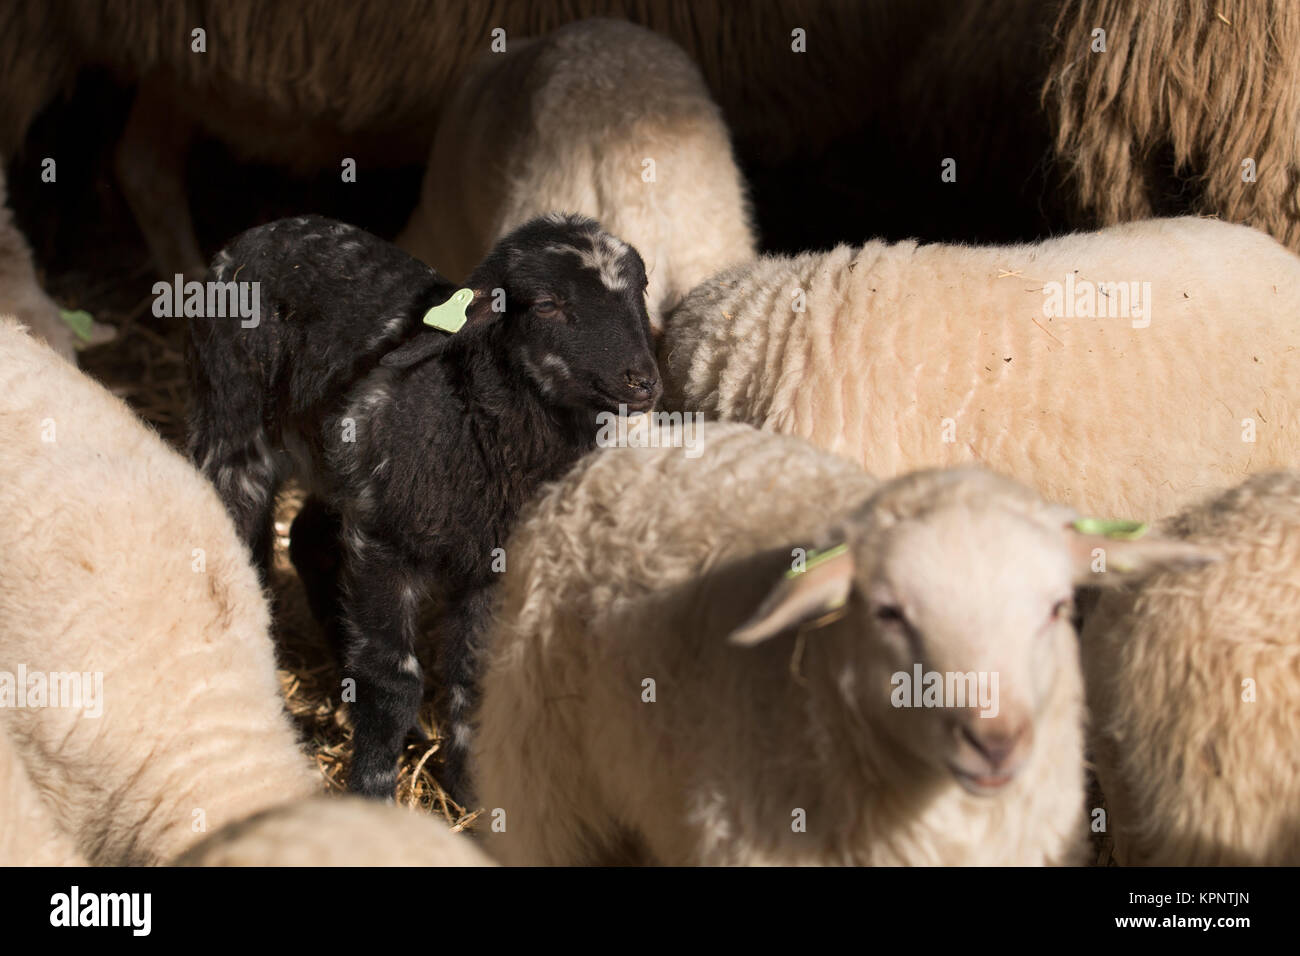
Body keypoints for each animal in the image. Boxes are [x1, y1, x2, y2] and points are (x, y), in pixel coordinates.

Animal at [188, 212, 660, 803]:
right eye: (548, 303)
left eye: (642, 291)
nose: (643, 382)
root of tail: (265, 229)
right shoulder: (382, 544)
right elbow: (393, 682)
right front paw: (373, 793)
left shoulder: (488, 567)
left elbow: (471, 680)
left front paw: (470, 793)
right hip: (232, 426)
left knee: (308, 539)